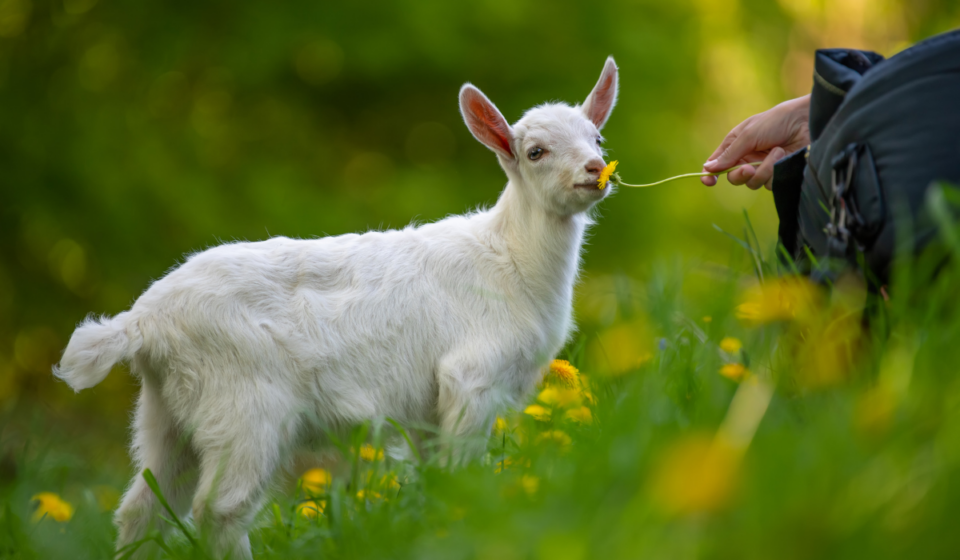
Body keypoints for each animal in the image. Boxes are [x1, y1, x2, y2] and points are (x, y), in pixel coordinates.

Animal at [53, 57, 619, 558]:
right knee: (220, 509)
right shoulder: (470, 378)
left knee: (143, 507)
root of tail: (143, 322)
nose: (596, 170)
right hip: (245, 408)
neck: (509, 262)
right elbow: (461, 474)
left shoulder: (427, 410)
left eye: (597, 139)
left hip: (167, 412)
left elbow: (434, 478)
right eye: (535, 151)